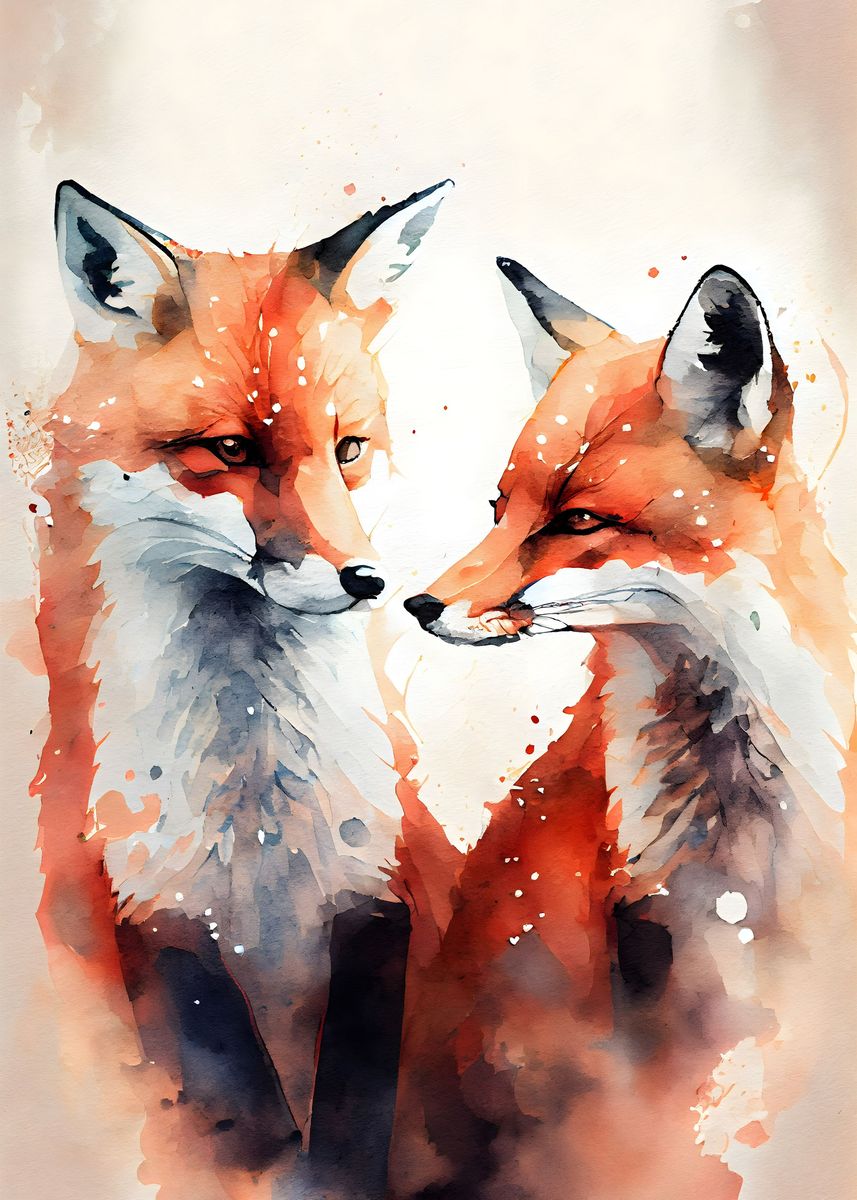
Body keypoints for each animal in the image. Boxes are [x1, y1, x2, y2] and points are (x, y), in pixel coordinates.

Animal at [31, 177, 450, 1198]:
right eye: (228, 449)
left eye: (348, 449)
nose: (368, 581)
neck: (257, 819)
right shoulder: (158, 911)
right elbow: (237, 1117)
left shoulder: (376, 897)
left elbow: (350, 1113)